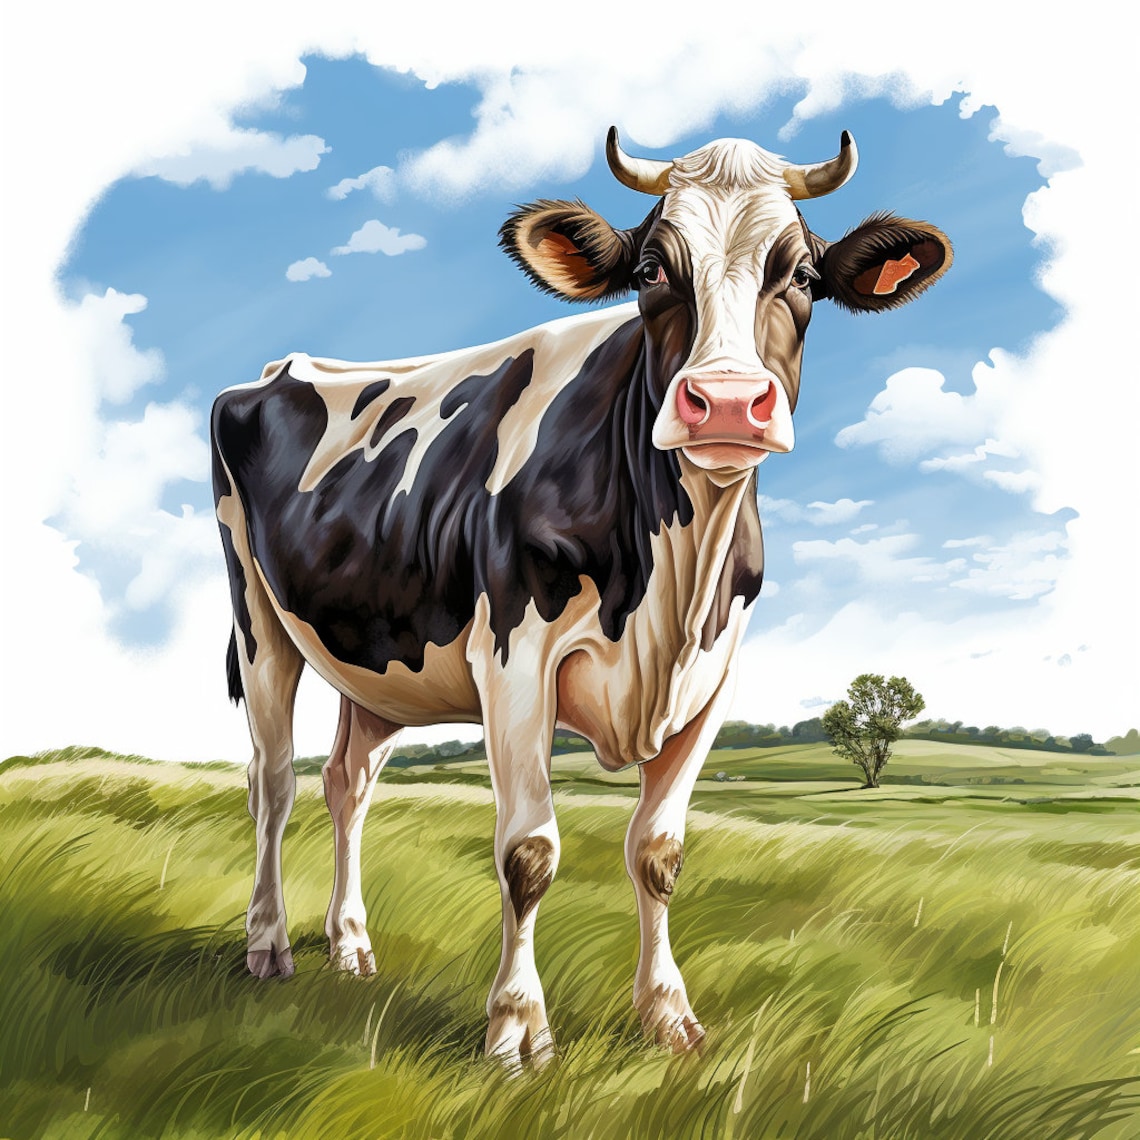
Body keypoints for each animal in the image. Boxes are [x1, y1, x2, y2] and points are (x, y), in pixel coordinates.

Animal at [211, 126, 951, 1066]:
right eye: (652, 272)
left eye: (803, 275)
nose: (728, 404)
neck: (671, 593)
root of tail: (284, 367)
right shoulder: (514, 663)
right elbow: (528, 851)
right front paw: (517, 1029)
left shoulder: (714, 677)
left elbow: (659, 851)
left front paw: (668, 1016)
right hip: (258, 619)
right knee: (272, 783)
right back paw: (268, 946)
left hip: (375, 656)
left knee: (349, 784)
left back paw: (350, 946)